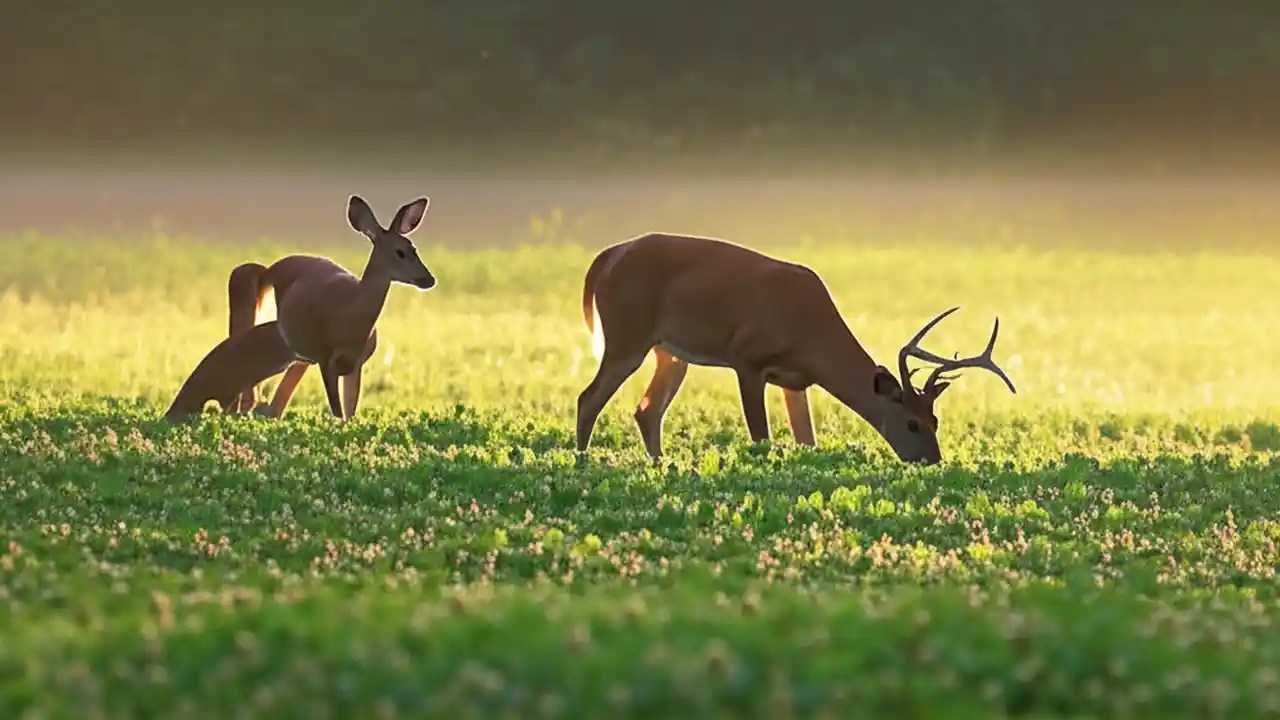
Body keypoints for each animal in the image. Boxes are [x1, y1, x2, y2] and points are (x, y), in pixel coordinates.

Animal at [203, 194, 435, 420]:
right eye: (400, 252)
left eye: (414, 249)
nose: (429, 279)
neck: (351, 318)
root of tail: (269, 269)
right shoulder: (325, 358)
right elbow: (337, 410)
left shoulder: (355, 364)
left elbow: (348, 413)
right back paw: (236, 409)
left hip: (297, 353)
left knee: (277, 397)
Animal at [574, 232, 1017, 464]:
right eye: (911, 423)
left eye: (935, 420)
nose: (932, 459)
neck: (809, 332)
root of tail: (605, 257)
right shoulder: (747, 359)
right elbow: (760, 436)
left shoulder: (796, 381)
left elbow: (807, 440)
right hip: (626, 335)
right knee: (588, 397)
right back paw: (581, 462)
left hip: (669, 352)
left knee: (647, 410)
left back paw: (660, 464)